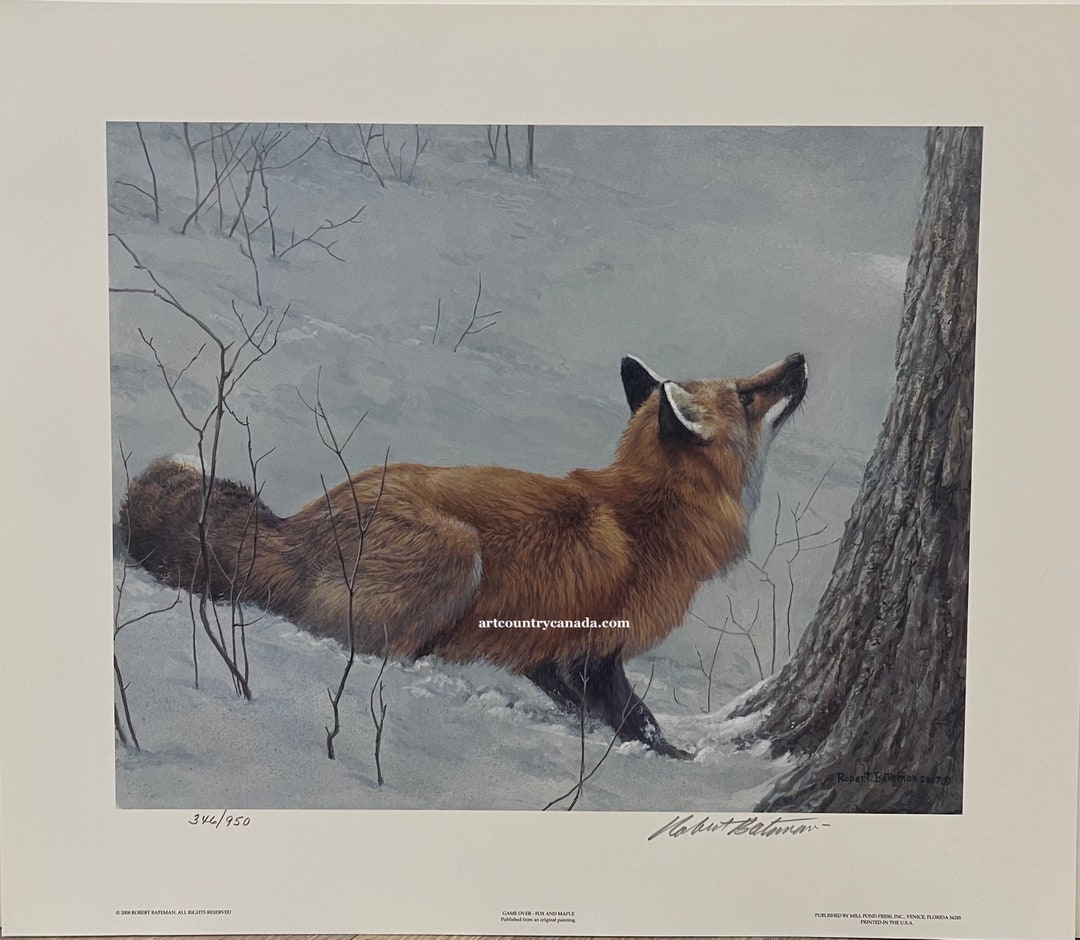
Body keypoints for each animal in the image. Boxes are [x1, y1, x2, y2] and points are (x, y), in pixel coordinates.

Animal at [121, 352, 807, 758]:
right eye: (746, 393)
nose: (799, 359)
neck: (650, 518)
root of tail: (301, 523)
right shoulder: (592, 650)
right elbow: (639, 720)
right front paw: (676, 760)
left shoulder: (551, 651)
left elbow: (595, 707)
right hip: (460, 550)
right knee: (357, 644)